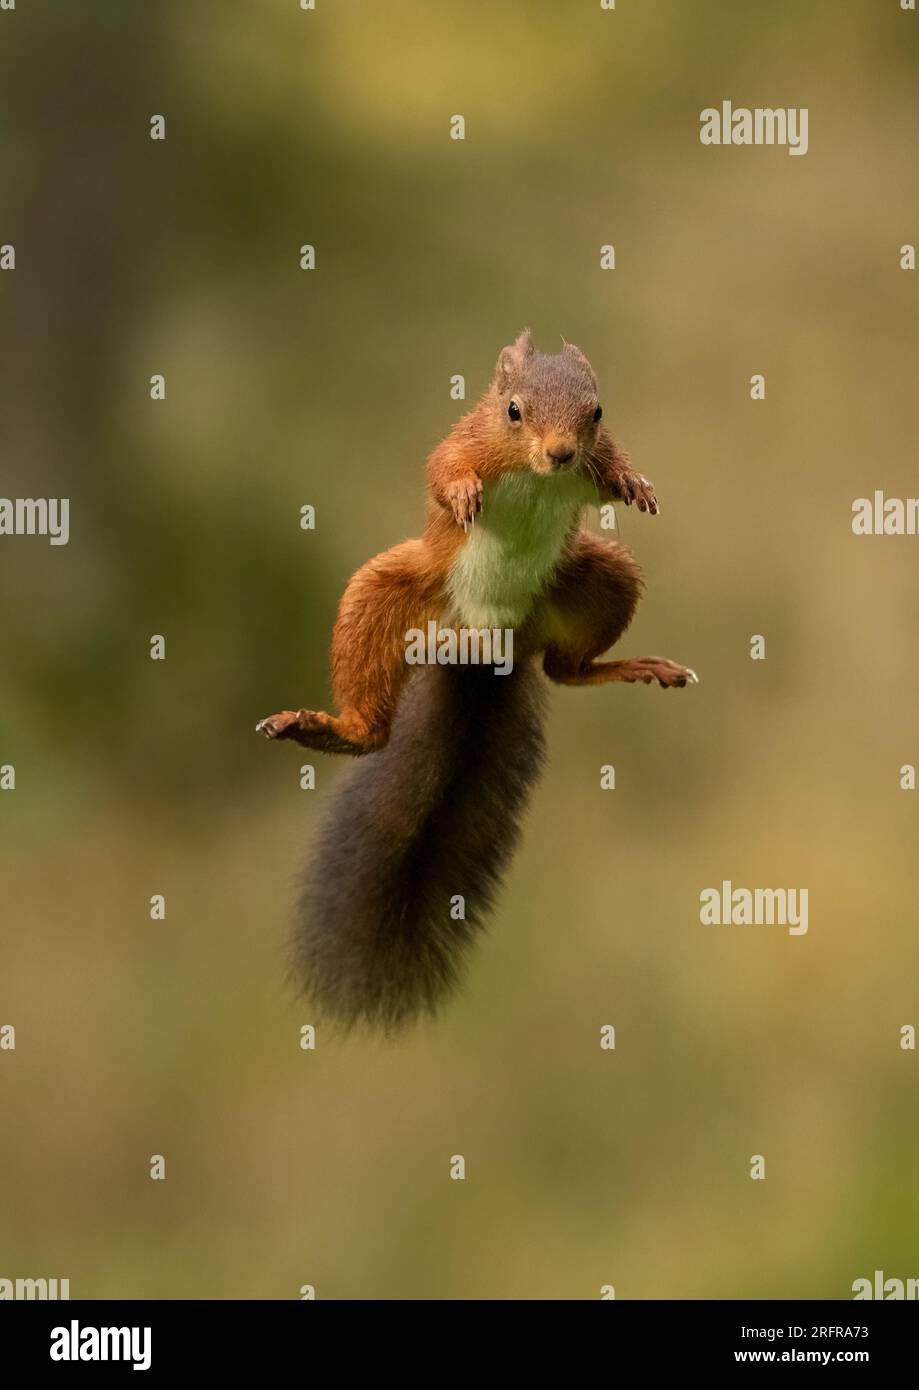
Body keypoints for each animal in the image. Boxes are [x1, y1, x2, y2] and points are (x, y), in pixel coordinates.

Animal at [257, 331, 697, 1031]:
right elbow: (442, 467)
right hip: (386, 592)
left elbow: (611, 471)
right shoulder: (467, 439)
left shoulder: (591, 467)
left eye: (597, 412)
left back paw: (637, 667)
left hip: (603, 577)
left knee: (568, 672)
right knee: (374, 730)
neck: (536, 475)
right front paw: (463, 493)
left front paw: (635, 481)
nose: (562, 453)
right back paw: (326, 728)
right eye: (512, 411)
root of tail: (486, 641)